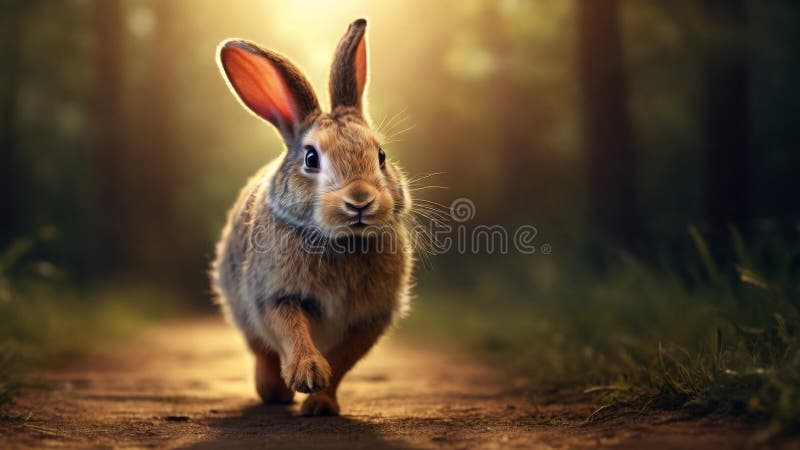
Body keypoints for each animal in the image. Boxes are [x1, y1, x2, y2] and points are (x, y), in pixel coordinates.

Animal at [210, 18, 414, 416]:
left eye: (381, 155)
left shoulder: (369, 318)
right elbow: (291, 330)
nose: (360, 200)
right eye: (310, 158)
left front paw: (320, 402)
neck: (343, 242)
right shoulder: (274, 295)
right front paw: (307, 375)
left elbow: (343, 360)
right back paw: (275, 393)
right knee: (262, 352)